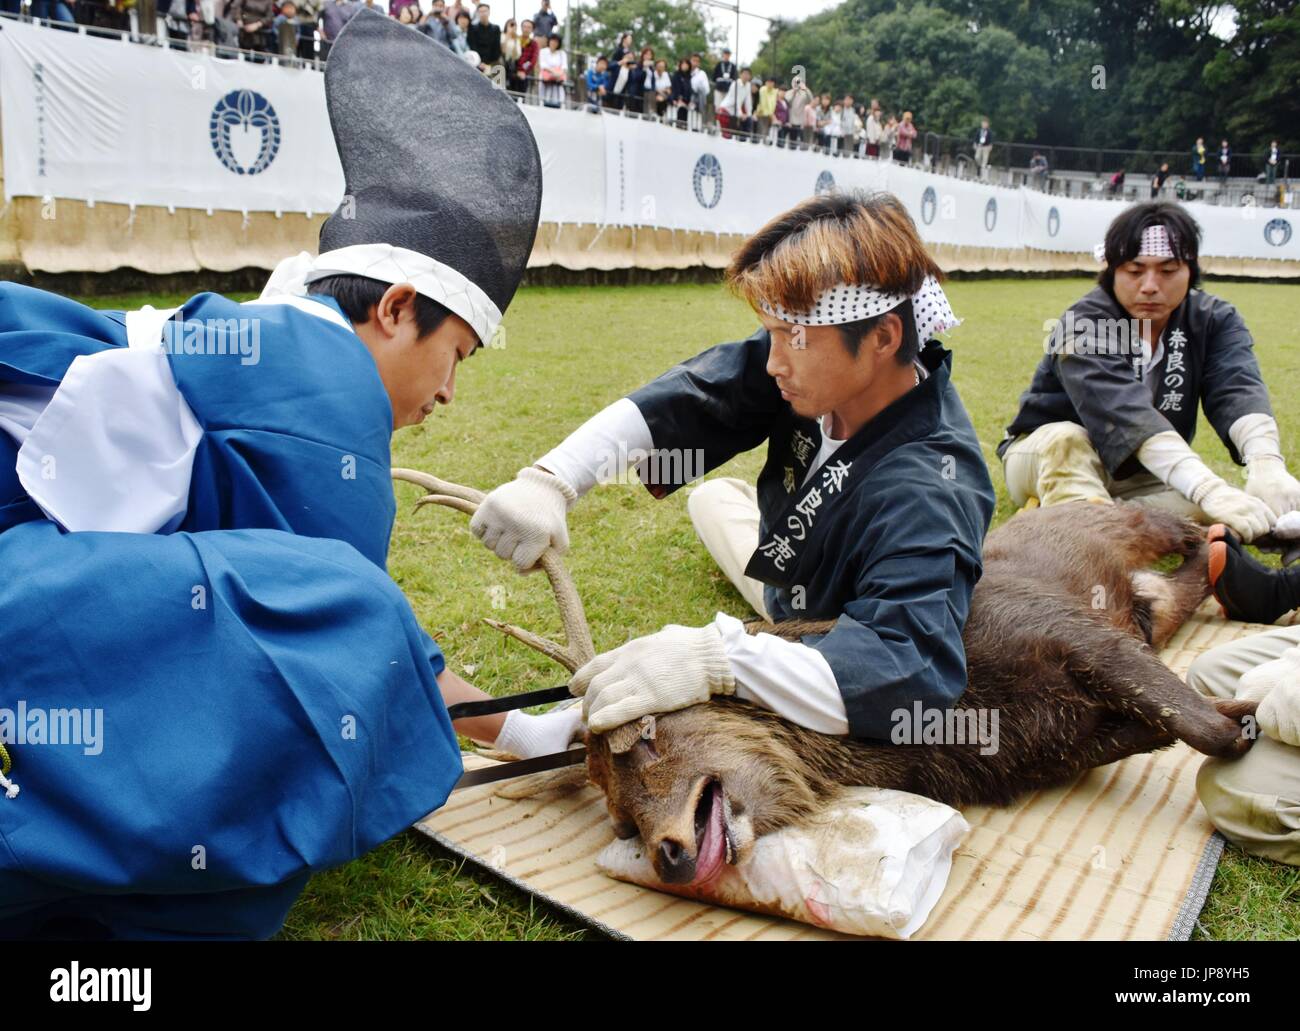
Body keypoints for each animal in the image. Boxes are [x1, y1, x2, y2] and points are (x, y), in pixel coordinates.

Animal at [394, 469, 1258, 889]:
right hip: (1151, 584)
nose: (668, 851)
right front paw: (1242, 707)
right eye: (618, 821)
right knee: (1186, 575)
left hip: (1122, 520)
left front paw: (1248, 717)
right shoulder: (1049, 748)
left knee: (1186, 520)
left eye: (647, 739)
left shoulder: (1063, 628)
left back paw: (1250, 522)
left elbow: (1200, 722)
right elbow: (1168, 722)